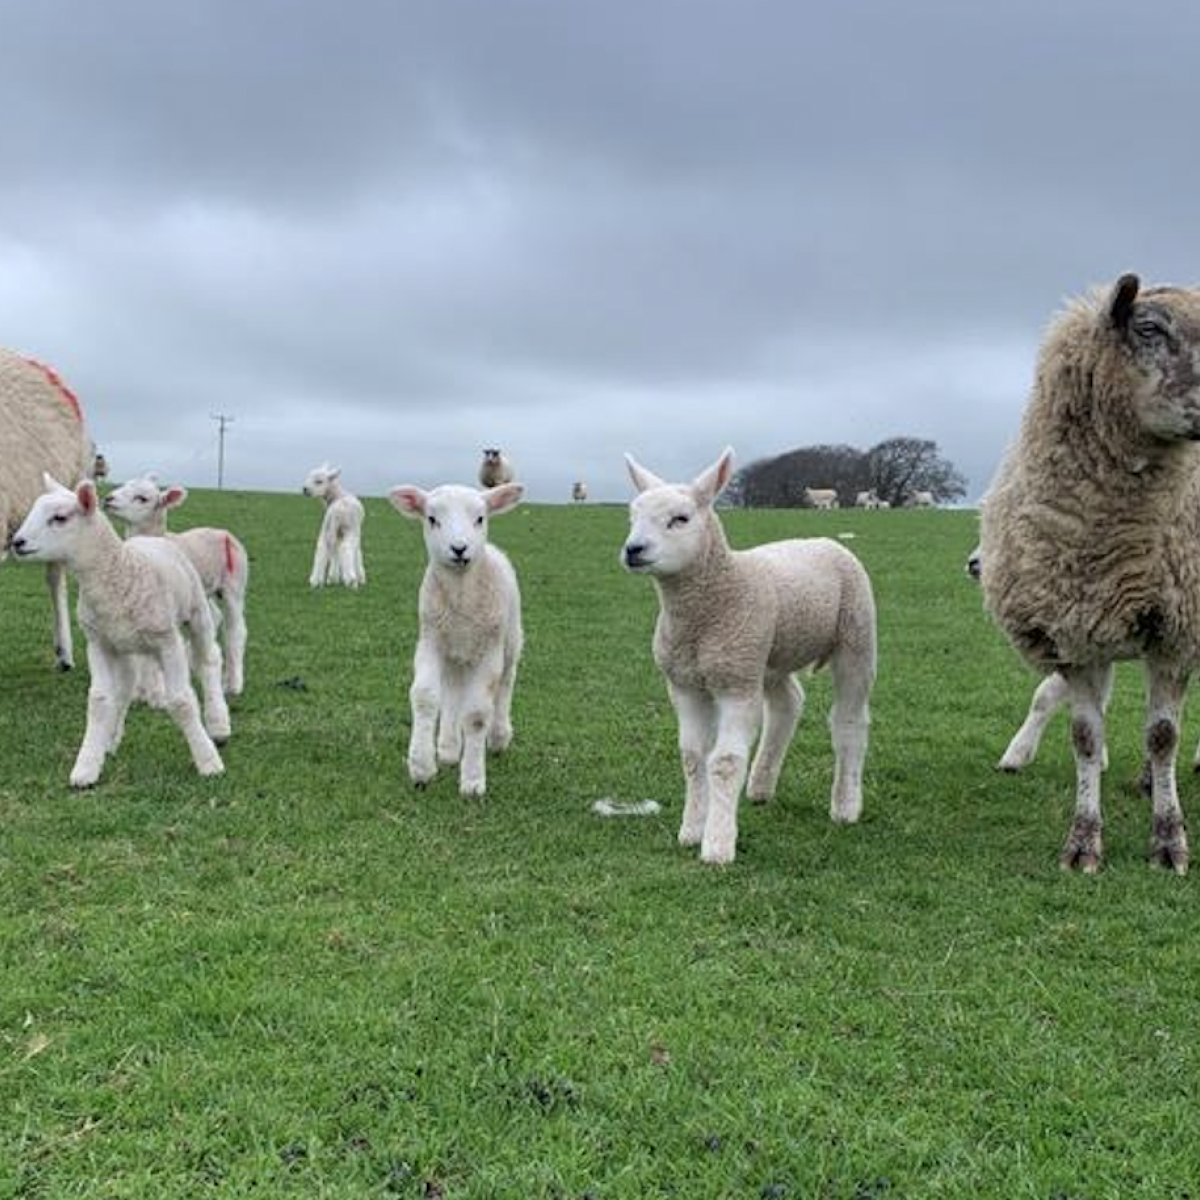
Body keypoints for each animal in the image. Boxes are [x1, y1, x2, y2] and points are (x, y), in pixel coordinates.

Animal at [10, 475, 230, 787]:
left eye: (60, 518)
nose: (17, 542)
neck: (120, 570)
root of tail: (152, 539)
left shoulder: (168, 641)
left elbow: (182, 701)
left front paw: (208, 761)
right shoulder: (97, 642)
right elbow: (101, 700)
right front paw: (87, 765)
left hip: (196, 612)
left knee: (208, 659)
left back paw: (218, 725)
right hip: (125, 645)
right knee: (124, 688)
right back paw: (110, 740)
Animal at [103, 474, 249, 695]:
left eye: (142, 498)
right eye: (125, 485)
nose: (108, 499)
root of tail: (224, 533)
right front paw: (139, 690)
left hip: (234, 586)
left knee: (235, 630)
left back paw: (233, 683)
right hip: (203, 590)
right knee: (215, 616)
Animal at [388, 481, 524, 797]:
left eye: (480, 519)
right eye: (432, 519)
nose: (460, 548)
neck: (462, 599)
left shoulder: (489, 651)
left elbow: (476, 714)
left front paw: (473, 782)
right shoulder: (430, 640)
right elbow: (425, 696)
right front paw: (421, 766)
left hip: (510, 640)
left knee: (506, 683)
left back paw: (499, 736)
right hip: (454, 655)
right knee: (452, 692)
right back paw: (448, 748)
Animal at [623, 448, 877, 865]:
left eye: (680, 519)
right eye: (632, 516)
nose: (633, 550)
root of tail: (825, 539)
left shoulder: (736, 684)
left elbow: (724, 762)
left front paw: (717, 845)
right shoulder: (685, 684)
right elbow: (693, 757)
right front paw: (691, 830)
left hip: (856, 636)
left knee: (850, 722)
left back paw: (845, 804)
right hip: (768, 654)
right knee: (788, 703)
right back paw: (760, 784)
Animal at [981, 273, 1200, 874]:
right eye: (1148, 329)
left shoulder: (1175, 631)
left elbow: (1163, 735)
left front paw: (1169, 841)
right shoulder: (1075, 633)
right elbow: (1084, 736)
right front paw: (1083, 843)